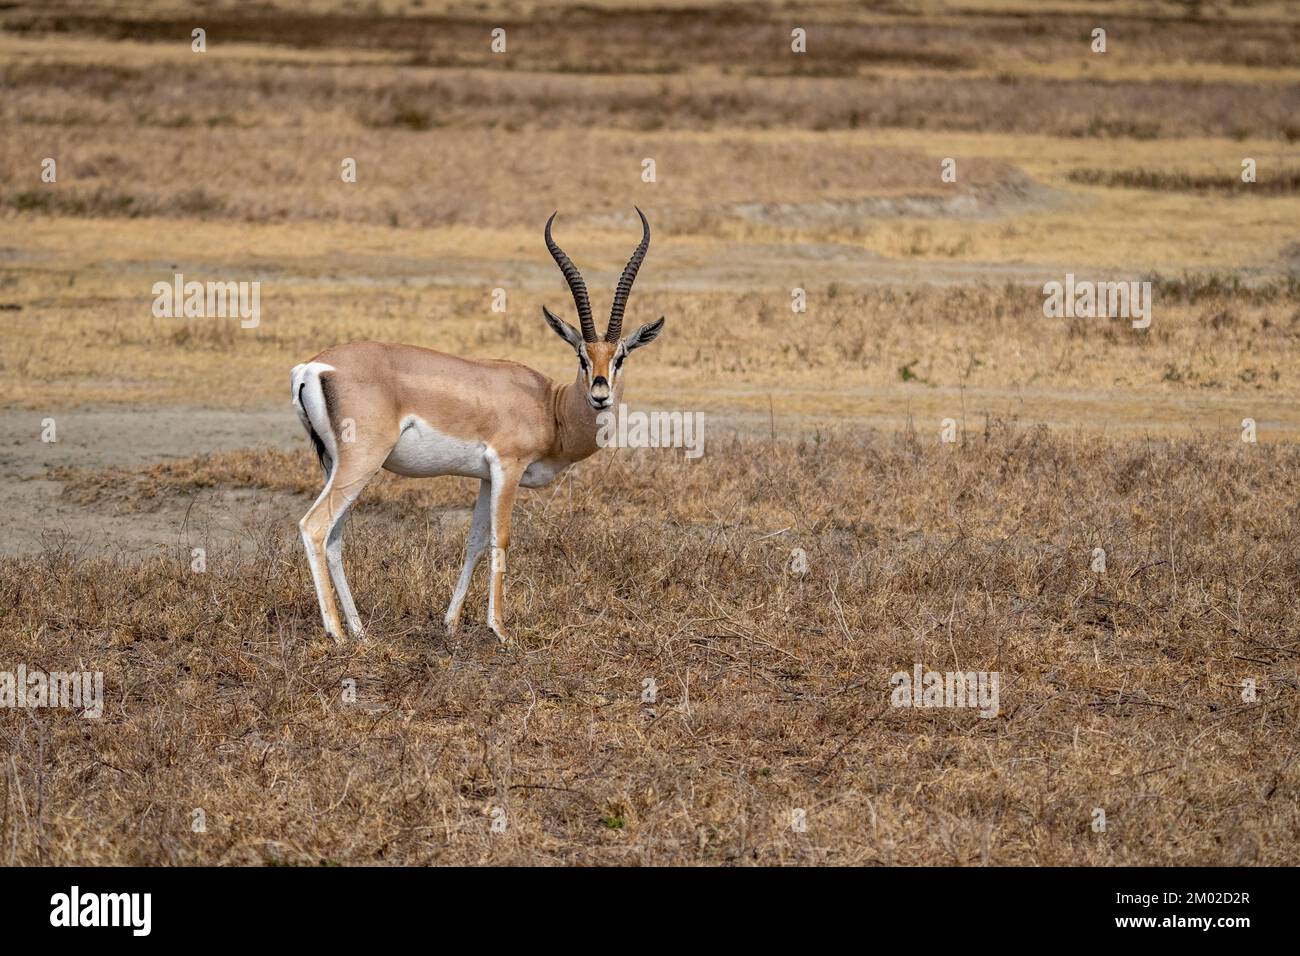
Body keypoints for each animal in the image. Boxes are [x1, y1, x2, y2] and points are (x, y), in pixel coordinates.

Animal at [291, 209, 664, 644]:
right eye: (580, 356)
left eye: (620, 356)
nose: (600, 394)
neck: (550, 407)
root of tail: (312, 367)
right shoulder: (508, 467)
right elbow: (501, 539)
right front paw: (500, 629)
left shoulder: (486, 477)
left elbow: (474, 541)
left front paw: (450, 622)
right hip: (361, 462)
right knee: (315, 527)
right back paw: (337, 633)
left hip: (335, 465)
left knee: (334, 538)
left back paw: (360, 631)